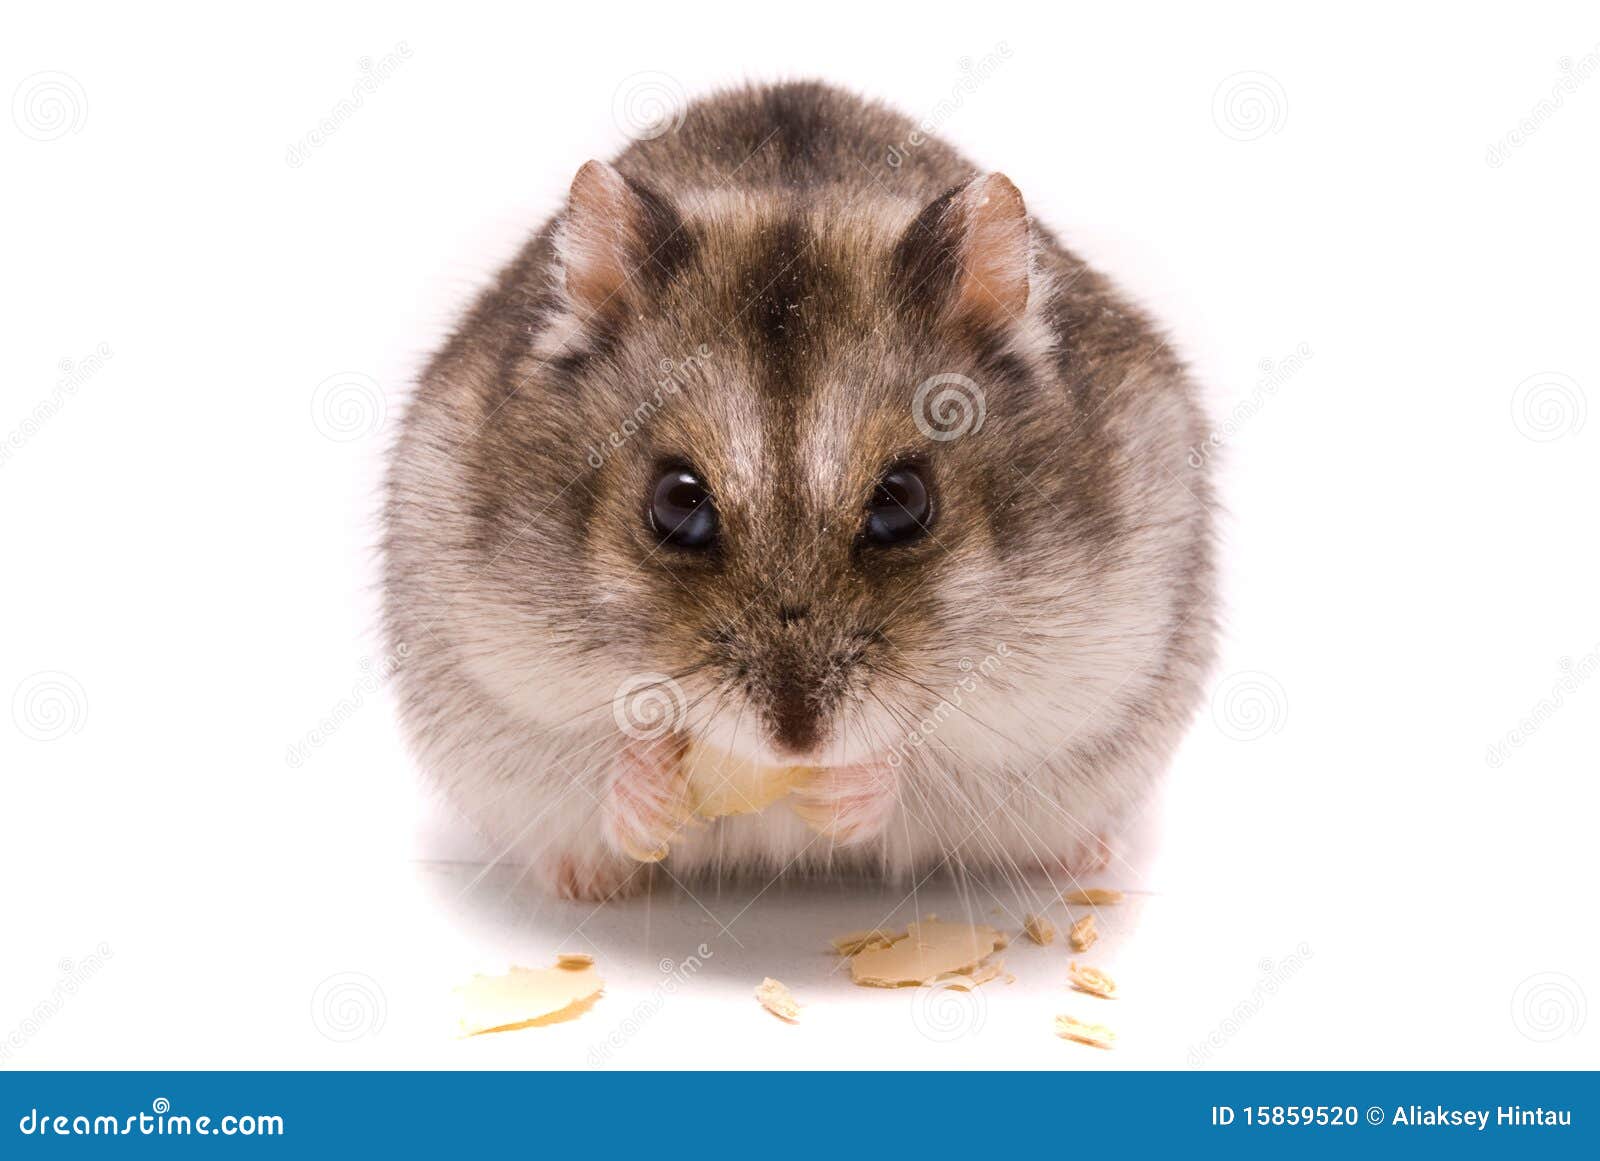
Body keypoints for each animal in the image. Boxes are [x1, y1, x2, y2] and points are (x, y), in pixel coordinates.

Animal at [384, 81, 1216, 901]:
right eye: (677, 504)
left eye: (904, 501)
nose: (796, 740)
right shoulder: (499, 685)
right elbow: (598, 757)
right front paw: (647, 790)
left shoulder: (1061, 702)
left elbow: (924, 753)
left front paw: (846, 787)